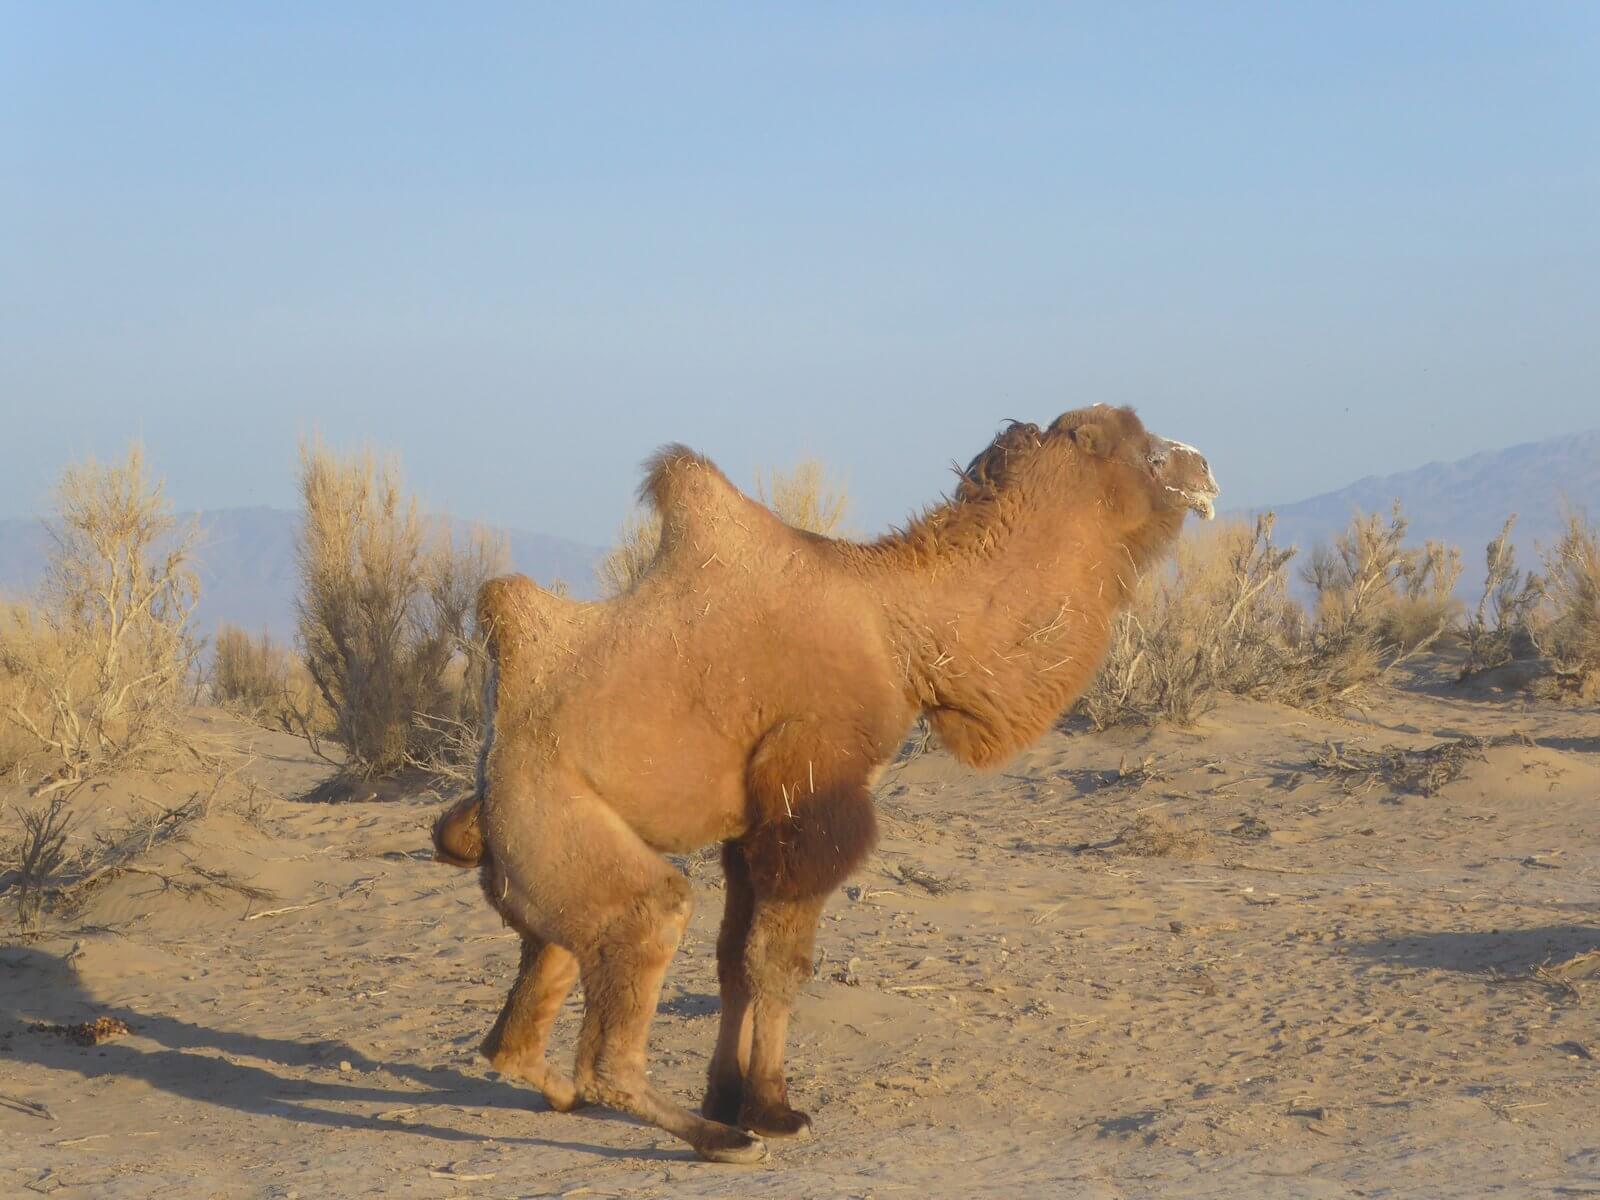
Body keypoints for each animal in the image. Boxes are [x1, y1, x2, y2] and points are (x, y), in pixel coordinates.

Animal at [431, 404, 1217, 1162]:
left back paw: (573, 1095)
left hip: (543, 884)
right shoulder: (811, 797)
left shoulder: (752, 826)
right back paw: (715, 1140)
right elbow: (778, 964)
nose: (1206, 470)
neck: (899, 622)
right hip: (563, 836)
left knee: (517, 1029)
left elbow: (733, 961)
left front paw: (728, 1093)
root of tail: (489, 792)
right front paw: (771, 1110)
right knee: (639, 958)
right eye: (1152, 453)